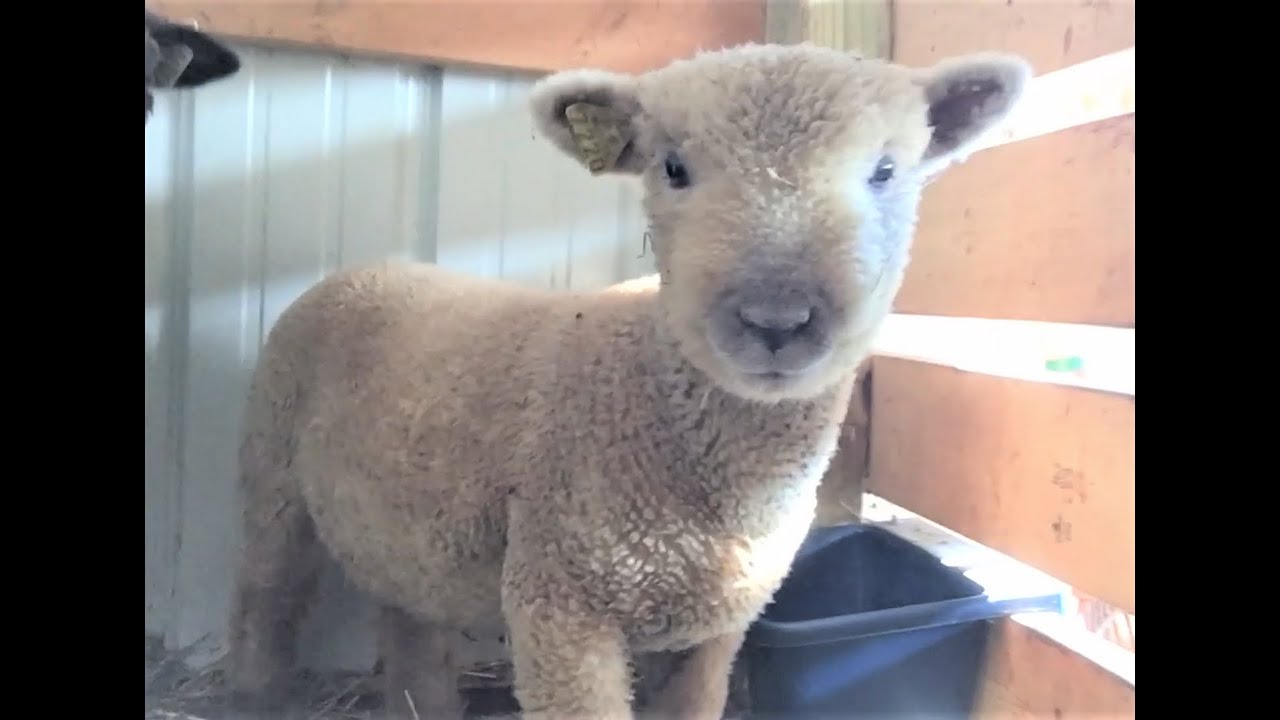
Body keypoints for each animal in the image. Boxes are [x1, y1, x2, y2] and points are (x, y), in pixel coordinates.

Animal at [225, 41, 1031, 720]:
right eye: (672, 168)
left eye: (887, 171)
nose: (776, 319)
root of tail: (376, 267)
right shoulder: (559, 602)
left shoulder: (715, 631)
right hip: (272, 480)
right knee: (263, 609)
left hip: (404, 533)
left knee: (410, 634)